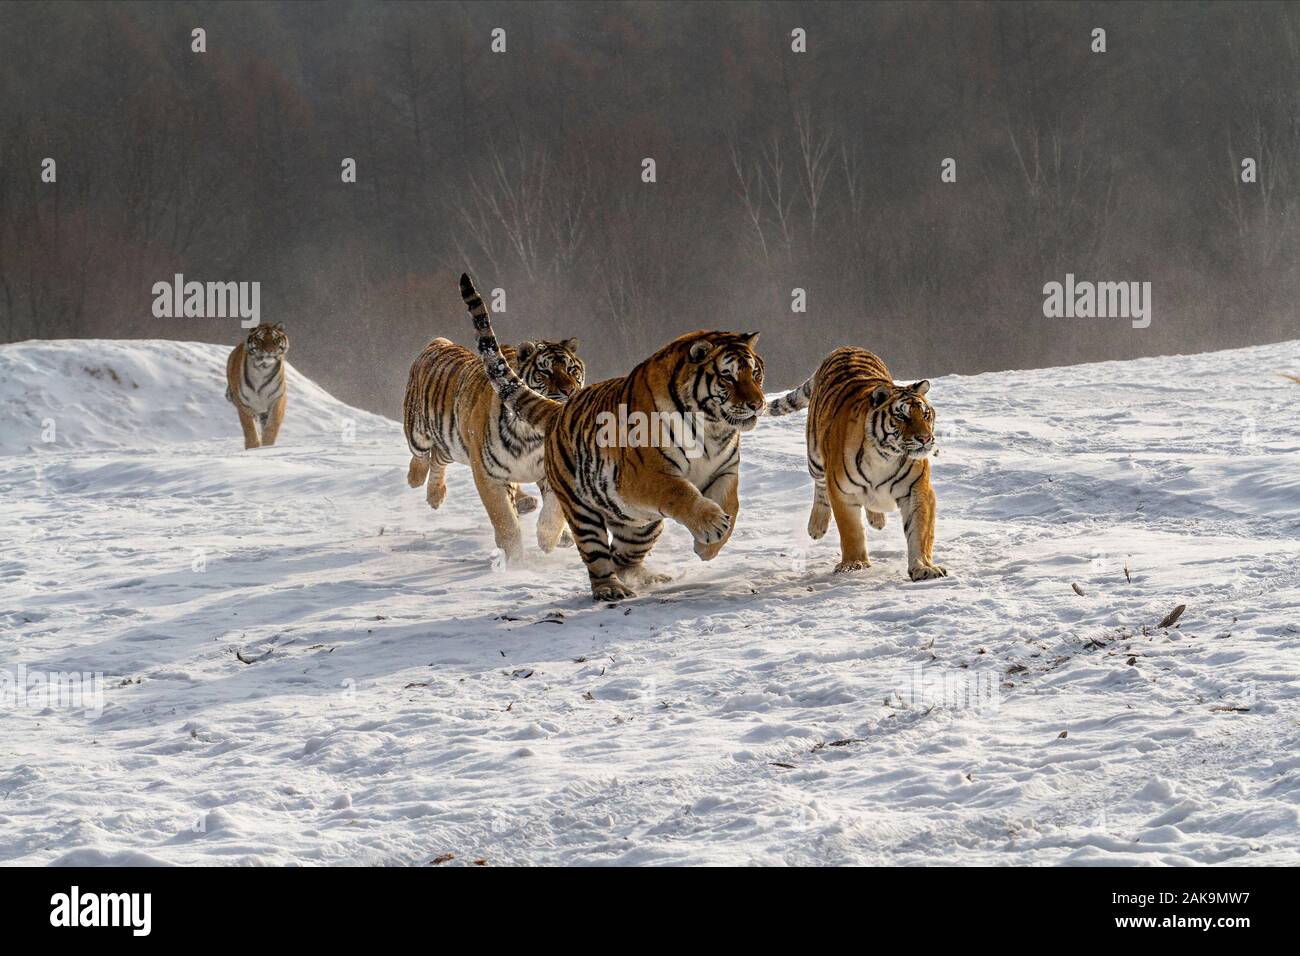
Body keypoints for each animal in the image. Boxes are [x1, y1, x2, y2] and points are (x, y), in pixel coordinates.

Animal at [402, 334, 585, 561]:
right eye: (545, 372)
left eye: (571, 370)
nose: (570, 391)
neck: (533, 435)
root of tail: (438, 343)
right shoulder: (487, 473)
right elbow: (504, 517)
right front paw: (514, 559)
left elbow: (554, 511)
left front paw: (549, 540)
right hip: (419, 432)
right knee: (421, 456)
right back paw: (416, 479)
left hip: (452, 446)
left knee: (438, 456)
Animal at [460, 272, 767, 601]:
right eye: (728, 377)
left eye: (755, 374)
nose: (757, 404)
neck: (711, 427)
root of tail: (559, 409)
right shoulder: (647, 474)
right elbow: (680, 492)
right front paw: (710, 525)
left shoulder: (723, 470)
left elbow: (732, 504)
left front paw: (708, 546)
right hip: (582, 512)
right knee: (599, 557)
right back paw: (611, 590)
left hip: (641, 526)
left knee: (623, 557)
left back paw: (652, 578)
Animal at [768, 345, 947, 581]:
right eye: (901, 416)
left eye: (925, 414)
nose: (925, 438)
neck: (885, 456)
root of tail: (846, 347)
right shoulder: (842, 492)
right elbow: (851, 531)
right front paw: (854, 564)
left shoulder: (917, 491)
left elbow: (920, 531)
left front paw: (924, 568)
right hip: (815, 459)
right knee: (820, 486)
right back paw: (816, 526)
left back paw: (877, 520)